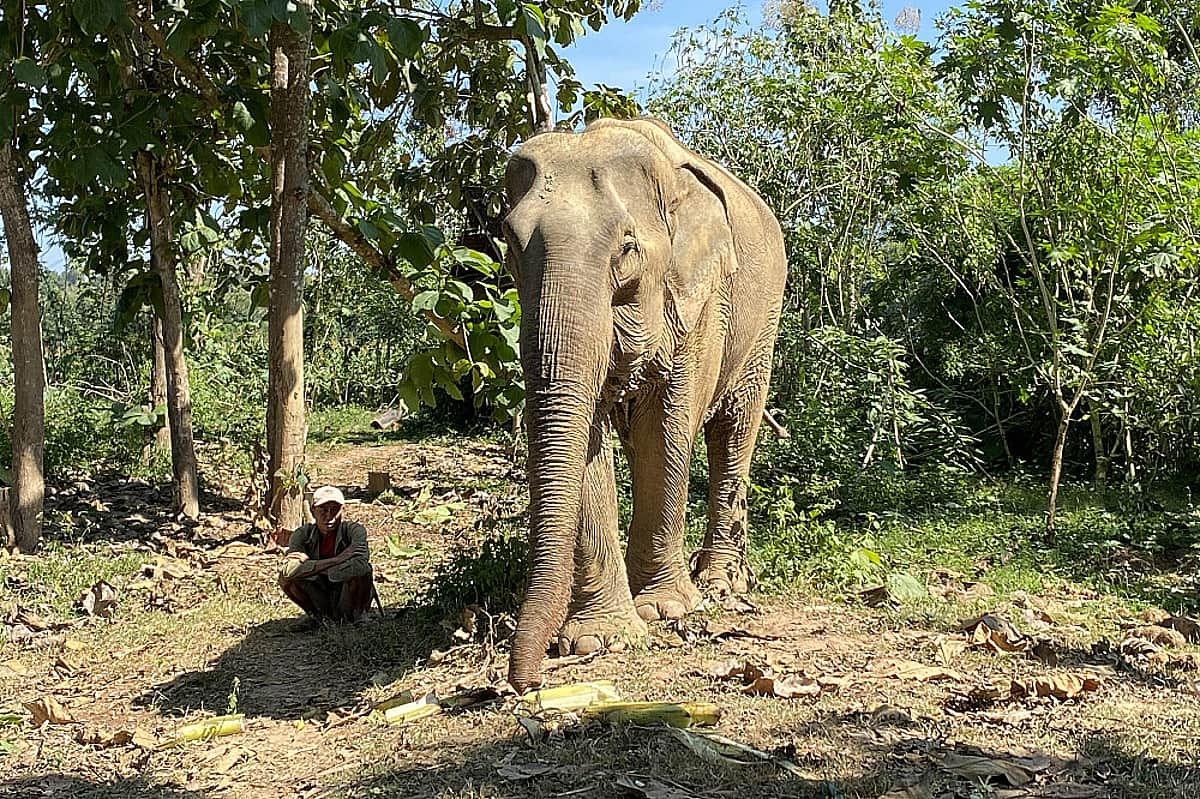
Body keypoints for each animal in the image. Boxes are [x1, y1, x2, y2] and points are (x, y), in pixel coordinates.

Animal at [504, 115, 787, 686]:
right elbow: (588, 440)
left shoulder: (702, 297)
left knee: (733, 430)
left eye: (628, 249)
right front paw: (600, 639)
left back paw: (721, 583)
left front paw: (666, 611)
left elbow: (666, 427)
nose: (527, 683)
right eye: (510, 243)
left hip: (763, 320)